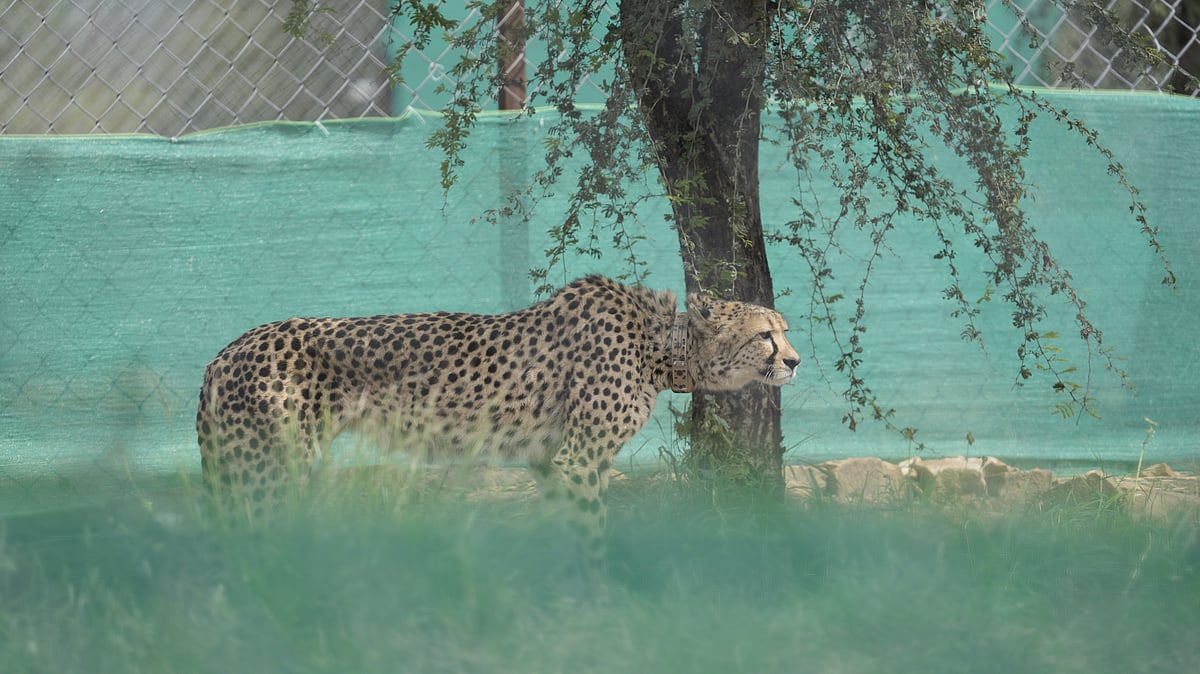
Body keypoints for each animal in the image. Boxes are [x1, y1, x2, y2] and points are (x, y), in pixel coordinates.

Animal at [196, 275, 799, 558]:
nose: (794, 361)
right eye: (765, 336)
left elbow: (572, 529)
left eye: (784, 330)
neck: (661, 347)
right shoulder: (580, 459)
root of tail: (226, 350)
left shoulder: (552, 462)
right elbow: (592, 535)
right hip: (270, 470)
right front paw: (603, 602)